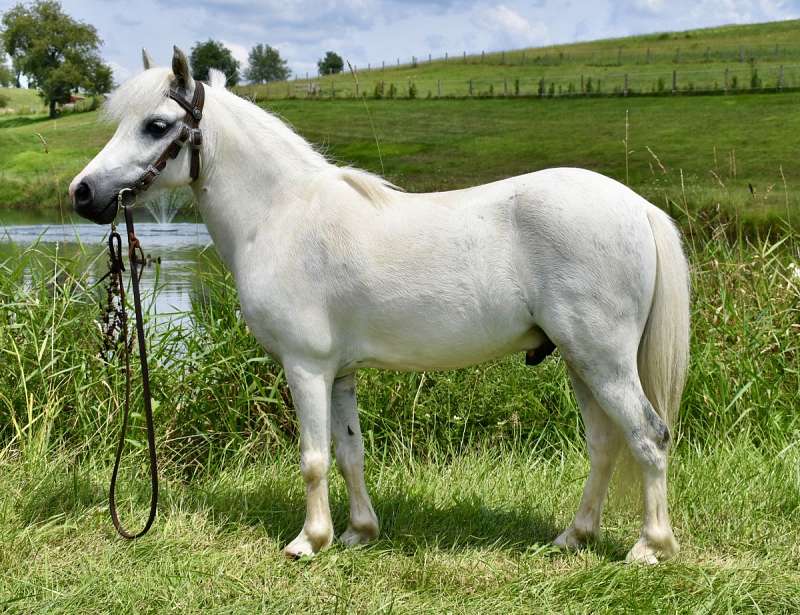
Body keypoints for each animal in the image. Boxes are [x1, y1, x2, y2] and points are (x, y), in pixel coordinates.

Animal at [70, 47, 690, 564]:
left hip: (602, 360)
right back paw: (573, 537)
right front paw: (358, 533)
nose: (82, 192)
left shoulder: (305, 367)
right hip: (581, 361)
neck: (280, 215)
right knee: (606, 443)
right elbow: (350, 453)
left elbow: (314, 458)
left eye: (156, 125)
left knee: (648, 436)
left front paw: (308, 541)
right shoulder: (339, 373)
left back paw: (649, 547)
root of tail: (636, 206)